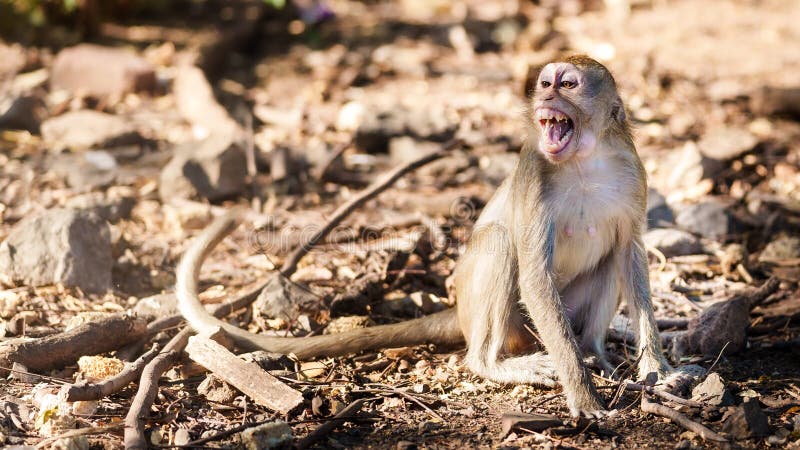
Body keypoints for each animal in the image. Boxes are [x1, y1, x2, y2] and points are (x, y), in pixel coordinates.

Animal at [176, 55, 680, 418]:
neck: (583, 161)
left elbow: (631, 253)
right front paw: (584, 395)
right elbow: (536, 276)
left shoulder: (633, 173)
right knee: (500, 244)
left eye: (568, 85)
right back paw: (494, 362)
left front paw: (656, 369)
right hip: (505, 322)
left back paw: (594, 351)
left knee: (611, 259)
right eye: (546, 84)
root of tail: (459, 313)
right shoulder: (534, 170)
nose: (546, 95)